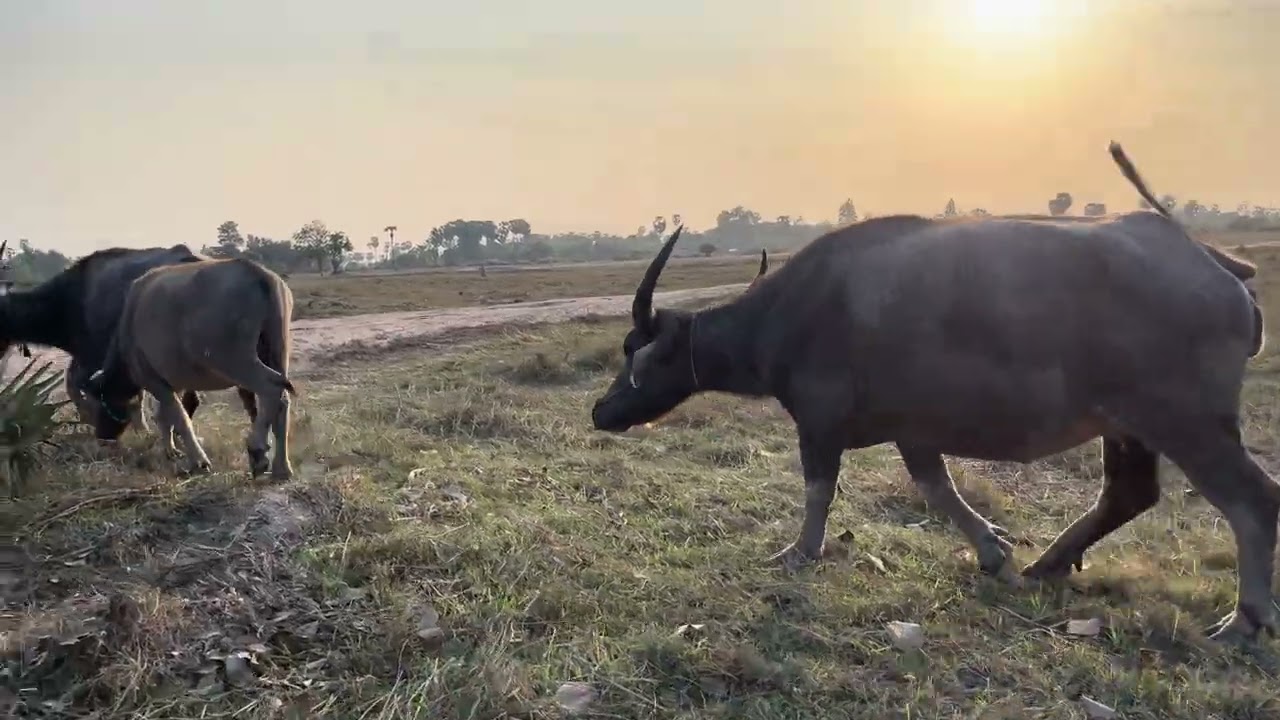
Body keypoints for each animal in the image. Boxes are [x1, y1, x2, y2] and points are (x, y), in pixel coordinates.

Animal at [82, 257, 297, 480]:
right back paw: (282, 467)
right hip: (277, 351)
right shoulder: (172, 383)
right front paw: (170, 450)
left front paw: (198, 461)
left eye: (98, 401)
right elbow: (163, 416)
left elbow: (180, 417)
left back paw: (258, 452)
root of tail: (257, 272)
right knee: (283, 399)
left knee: (270, 388)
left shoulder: (153, 380)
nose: (102, 437)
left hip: (236, 361)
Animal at [590, 143, 1274, 644]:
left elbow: (819, 491)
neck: (791, 310)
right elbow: (937, 488)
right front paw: (995, 550)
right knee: (1129, 494)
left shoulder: (820, 422)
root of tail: (1214, 263)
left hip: (1187, 422)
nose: (600, 410)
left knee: (1251, 499)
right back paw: (1049, 563)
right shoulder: (913, 432)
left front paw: (797, 553)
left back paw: (1245, 620)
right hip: (1128, 424)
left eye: (635, 350)